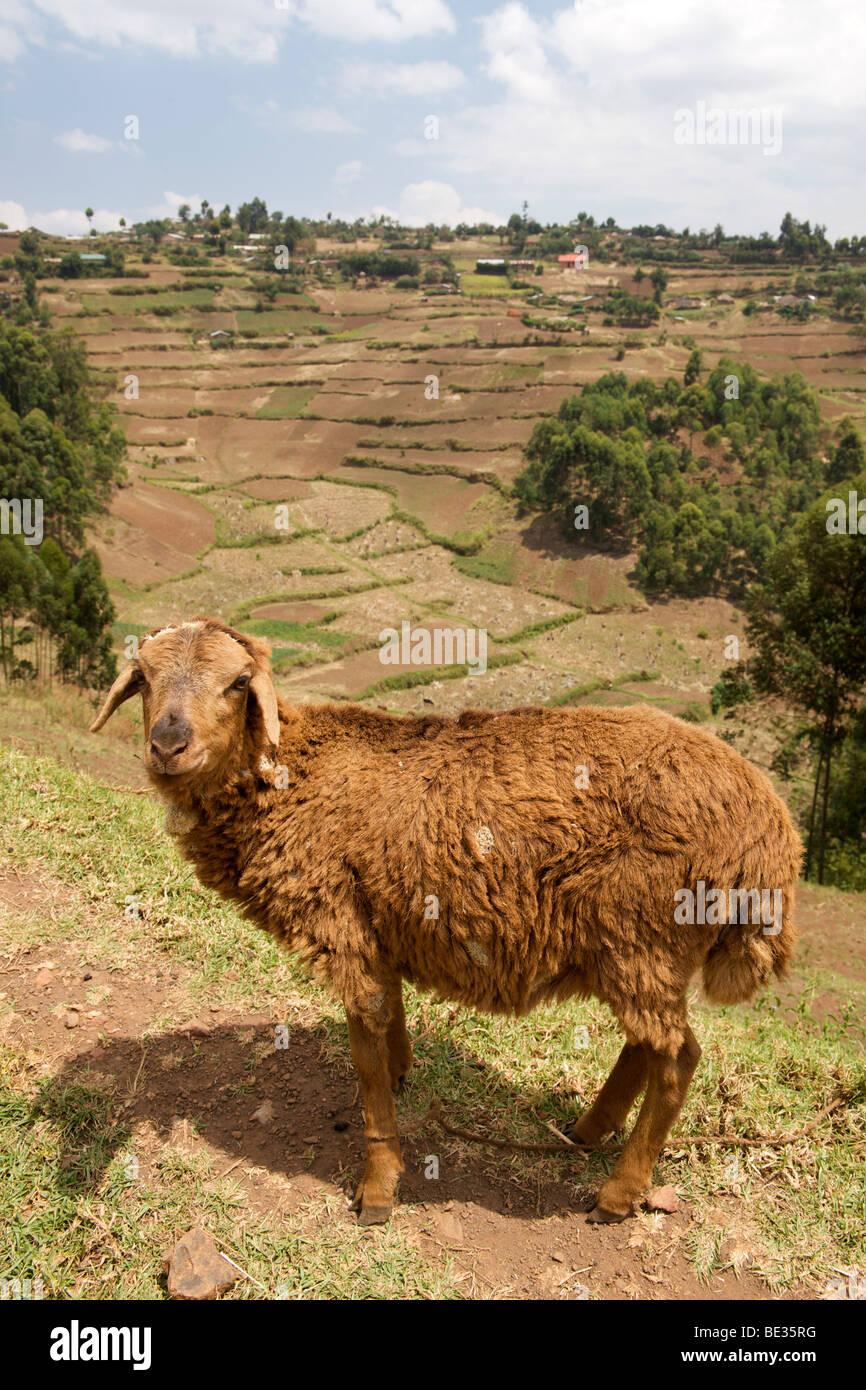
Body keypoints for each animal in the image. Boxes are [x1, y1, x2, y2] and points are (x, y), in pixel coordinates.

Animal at [91, 616, 801, 1225]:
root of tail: (771, 835)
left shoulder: (341, 926)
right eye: (143, 678)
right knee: (647, 1045)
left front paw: (378, 1187)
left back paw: (617, 1194)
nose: (168, 745)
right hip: (640, 952)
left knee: (677, 1060)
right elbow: (389, 1022)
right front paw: (405, 1071)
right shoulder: (377, 923)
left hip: (644, 935)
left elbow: (364, 1054)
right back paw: (588, 1131)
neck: (287, 779)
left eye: (239, 683)